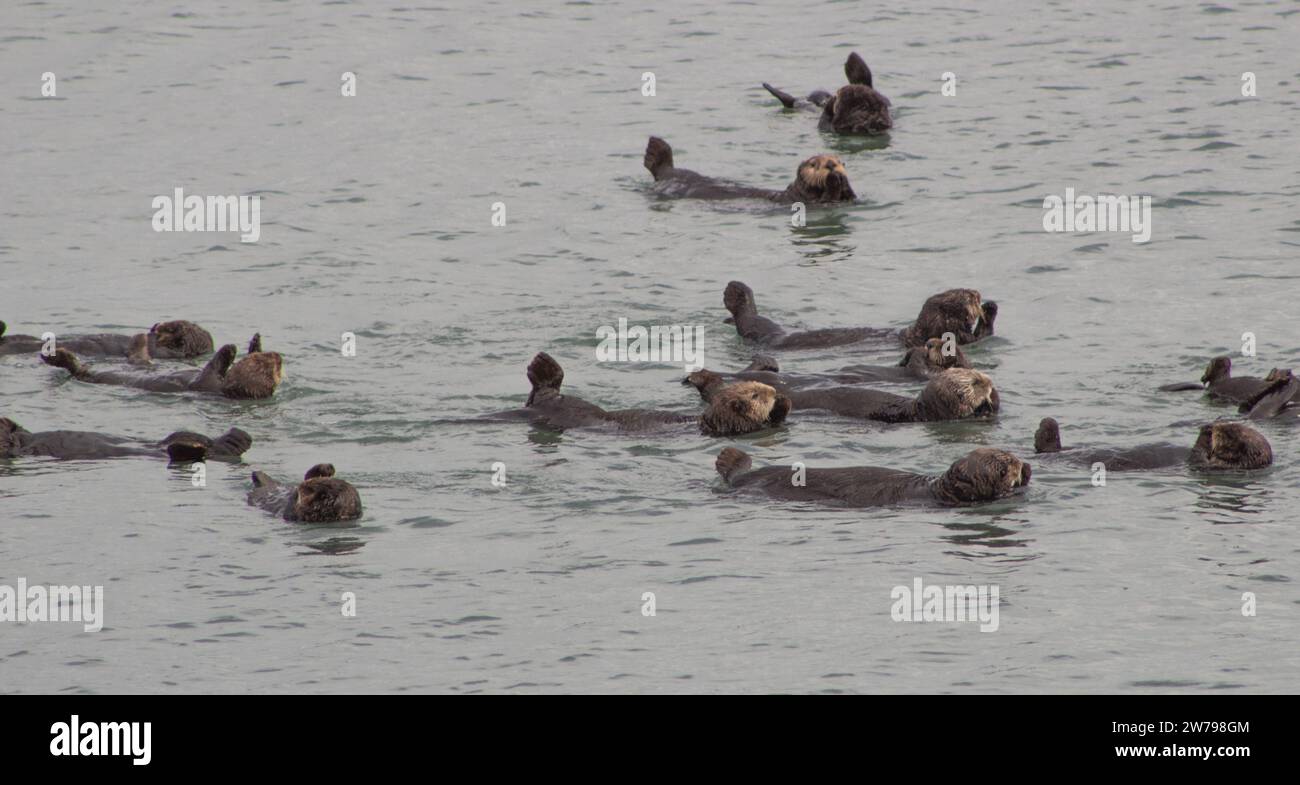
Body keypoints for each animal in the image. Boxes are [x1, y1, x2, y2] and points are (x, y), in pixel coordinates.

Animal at [40, 333, 283, 399]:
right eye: (261, 359)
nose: (278, 357)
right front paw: (254, 343)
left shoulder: (209, 383)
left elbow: (212, 368)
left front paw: (229, 350)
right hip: (138, 362)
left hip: (87, 374)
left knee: (75, 368)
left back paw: (55, 356)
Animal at [724, 281, 996, 349]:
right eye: (962, 295)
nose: (976, 293)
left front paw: (990, 308)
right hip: (765, 331)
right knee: (747, 319)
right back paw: (736, 291)